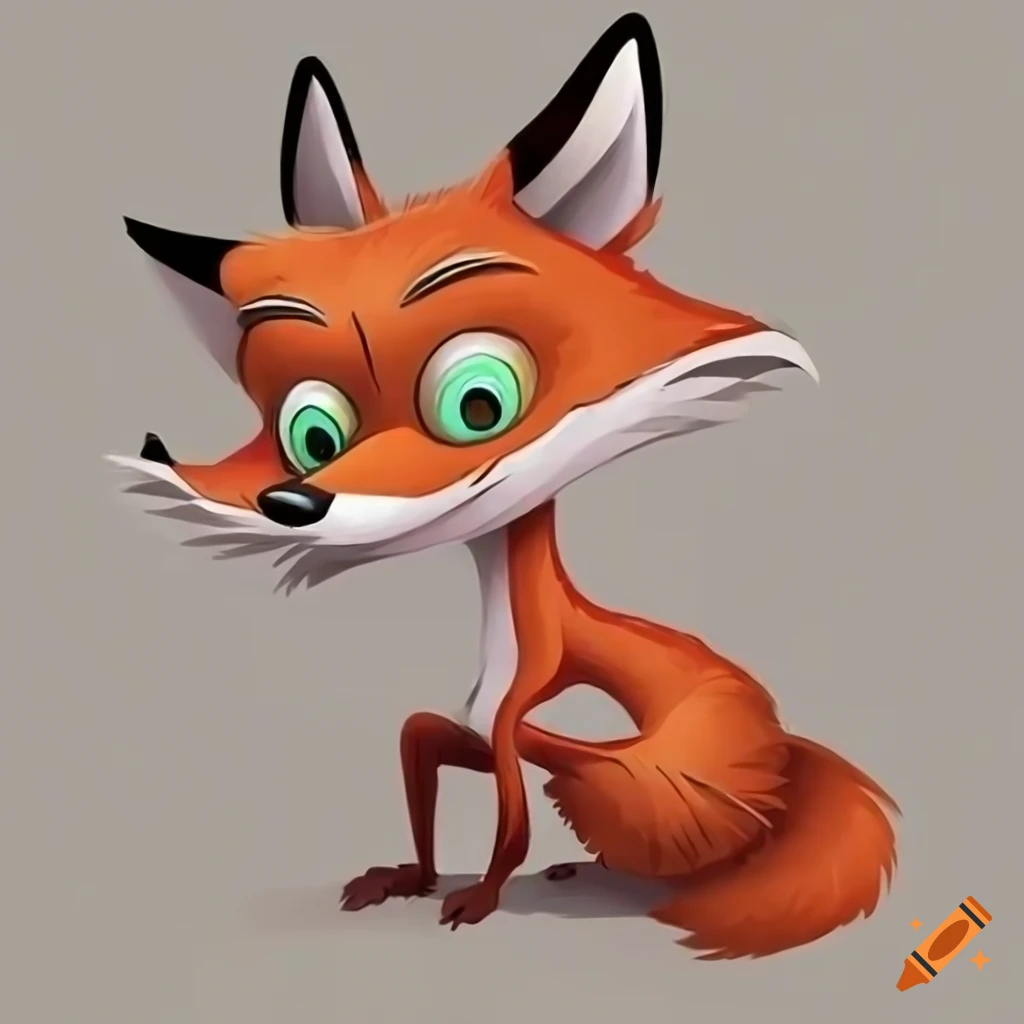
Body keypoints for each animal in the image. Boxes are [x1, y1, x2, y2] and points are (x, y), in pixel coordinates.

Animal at [109, 13, 898, 960]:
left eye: (477, 402)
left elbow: (512, 815)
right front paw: (409, 877)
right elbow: (425, 755)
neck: (502, 627)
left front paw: (481, 898)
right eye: (312, 434)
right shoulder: (469, 731)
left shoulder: (529, 706)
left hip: (632, 776)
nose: (295, 505)